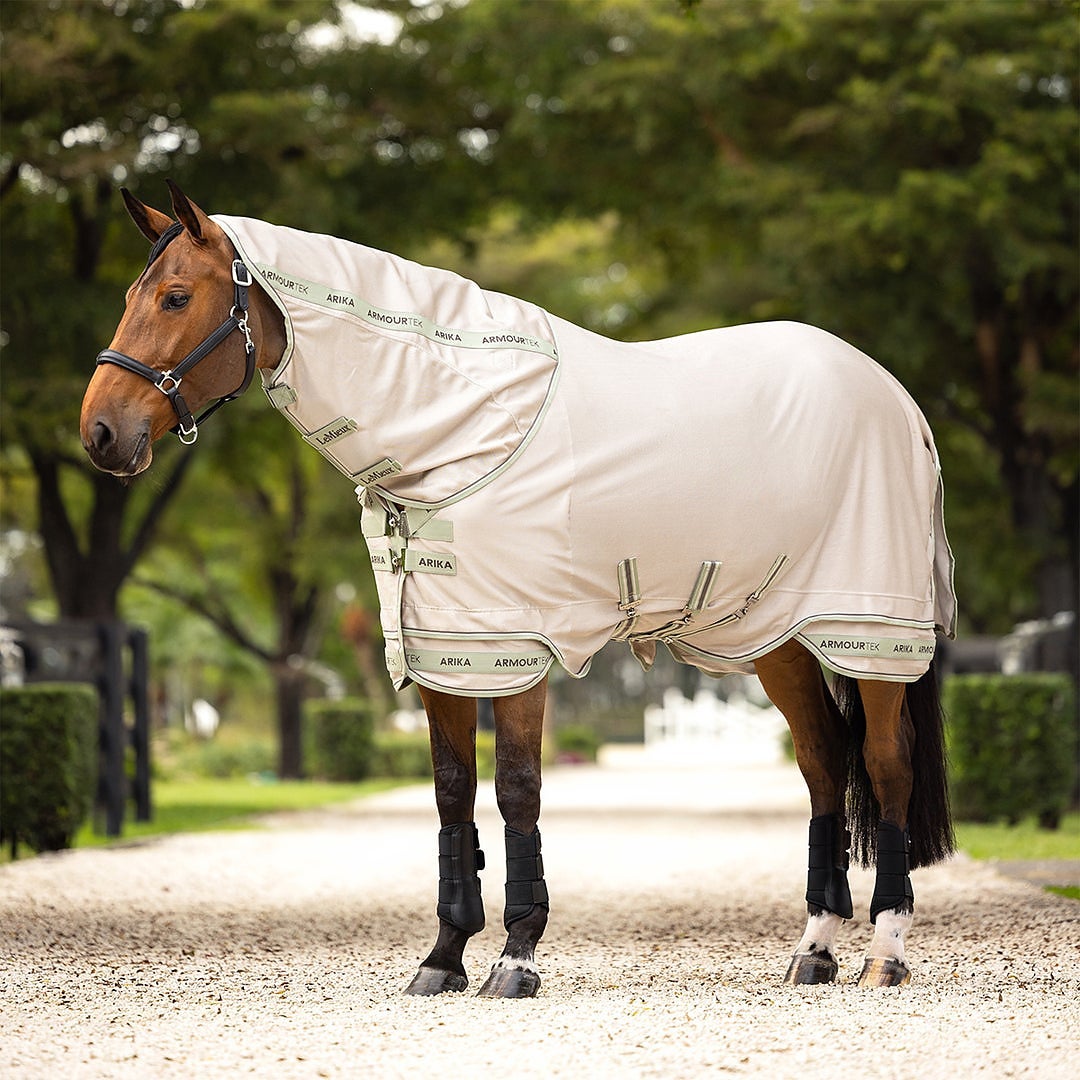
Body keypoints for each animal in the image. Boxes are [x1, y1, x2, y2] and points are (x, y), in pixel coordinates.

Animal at [80, 182, 956, 998]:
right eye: (126, 296)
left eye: (176, 296)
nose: (101, 433)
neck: (463, 424)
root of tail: (898, 400)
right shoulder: (446, 650)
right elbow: (452, 795)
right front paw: (442, 958)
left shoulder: (518, 647)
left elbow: (516, 791)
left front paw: (516, 956)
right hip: (780, 636)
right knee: (822, 763)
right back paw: (814, 951)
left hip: (873, 633)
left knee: (884, 765)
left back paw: (884, 953)